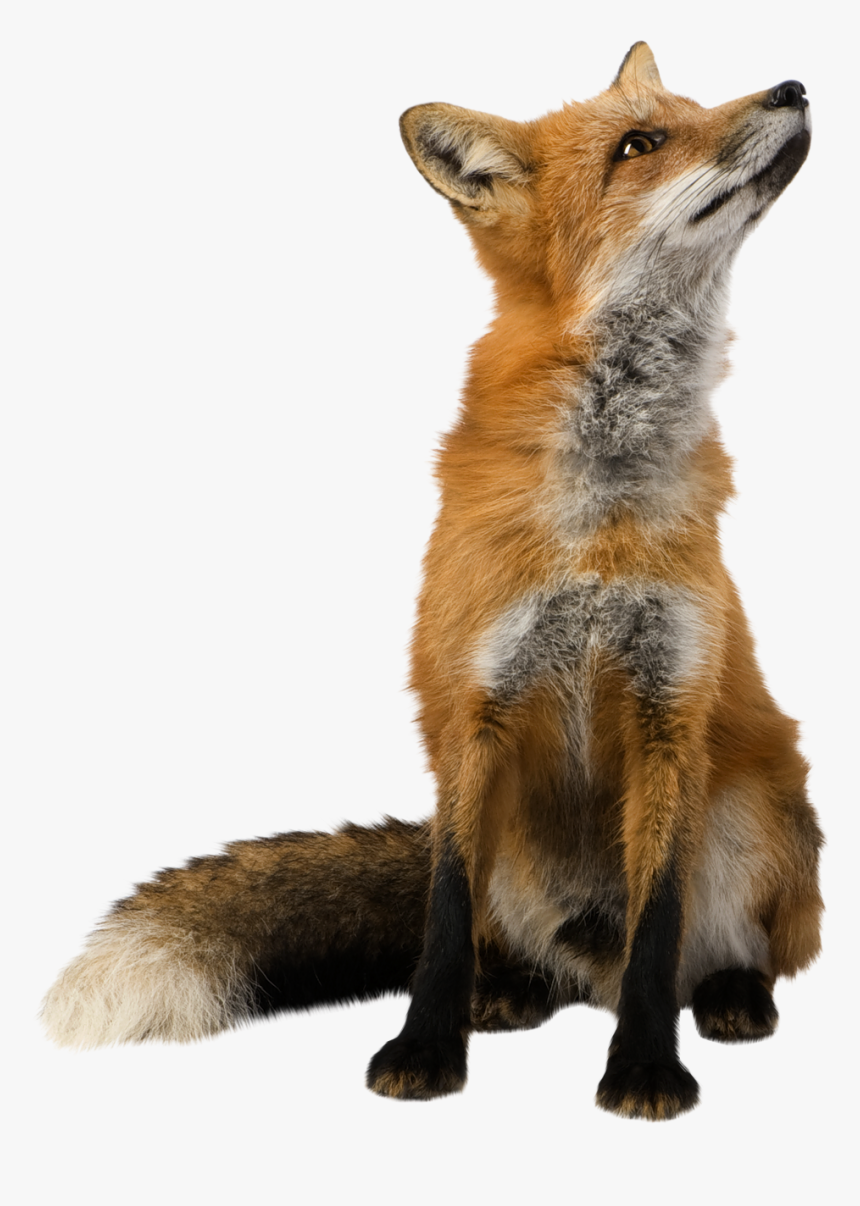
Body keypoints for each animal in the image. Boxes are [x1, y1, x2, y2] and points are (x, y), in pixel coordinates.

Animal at [42, 43, 823, 1121]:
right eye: (641, 142)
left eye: (691, 104)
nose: (793, 87)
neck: (596, 514)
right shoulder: (470, 709)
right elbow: (442, 919)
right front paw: (424, 1051)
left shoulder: (671, 708)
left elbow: (659, 921)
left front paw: (642, 1071)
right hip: (514, 852)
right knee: (514, 945)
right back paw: (511, 991)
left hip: (758, 815)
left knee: (707, 955)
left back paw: (729, 995)